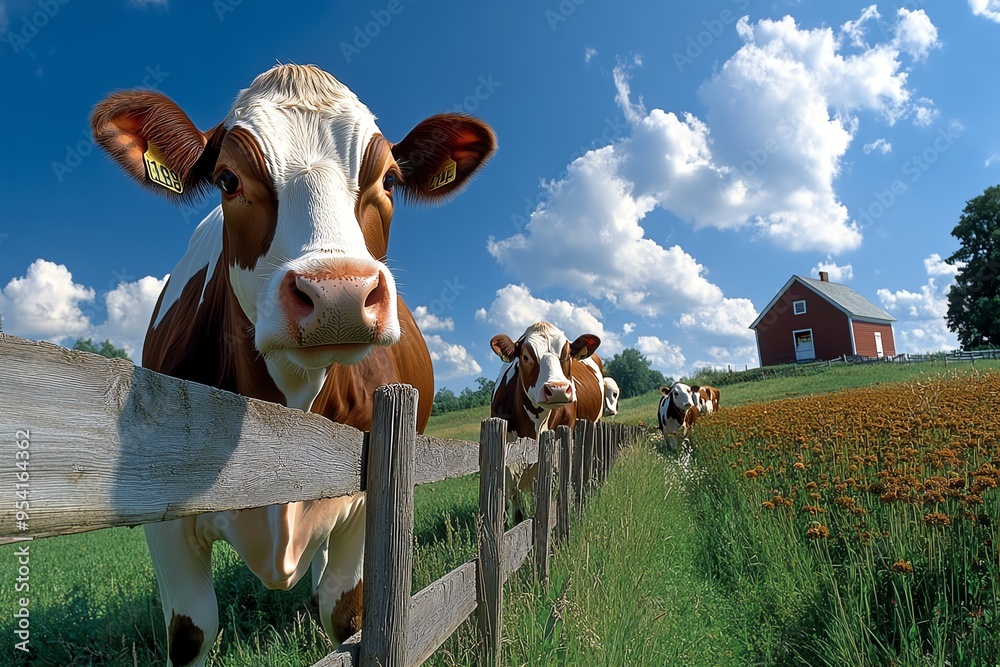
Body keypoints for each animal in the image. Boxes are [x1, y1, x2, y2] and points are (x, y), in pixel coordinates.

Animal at [91, 64, 495, 666]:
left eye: (389, 180)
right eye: (228, 179)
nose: (339, 294)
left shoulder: (365, 498)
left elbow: (345, 615)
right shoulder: (160, 514)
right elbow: (190, 634)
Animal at [489, 322, 602, 522]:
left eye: (567, 354)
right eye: (525, 356)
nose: (558, 389)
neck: (534, 426)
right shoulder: (508, 455)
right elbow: (513, 498)